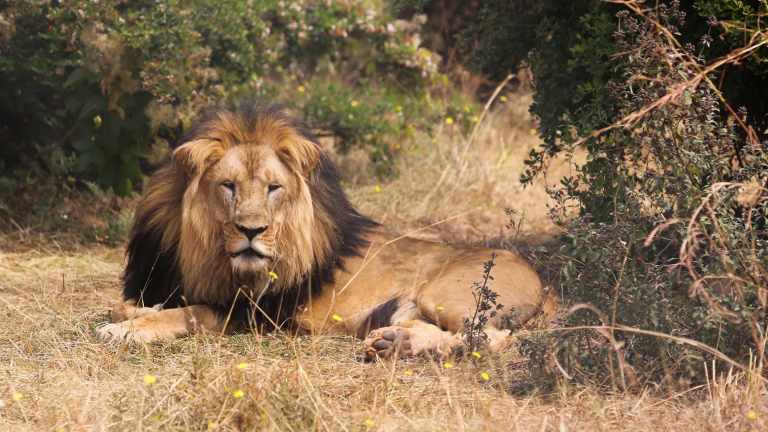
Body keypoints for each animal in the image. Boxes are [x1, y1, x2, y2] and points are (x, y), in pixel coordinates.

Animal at [96, 104, 548, 358]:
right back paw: (395, 342)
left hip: (447, 296)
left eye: (274, 188)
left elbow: (185, 313)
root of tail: (541, 278)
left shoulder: (255, 313)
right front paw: (129, 312)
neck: (202, 248)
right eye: (228, 186)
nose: (251, 230)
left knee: (489, 337)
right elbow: (148, 305)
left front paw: (124, 329)